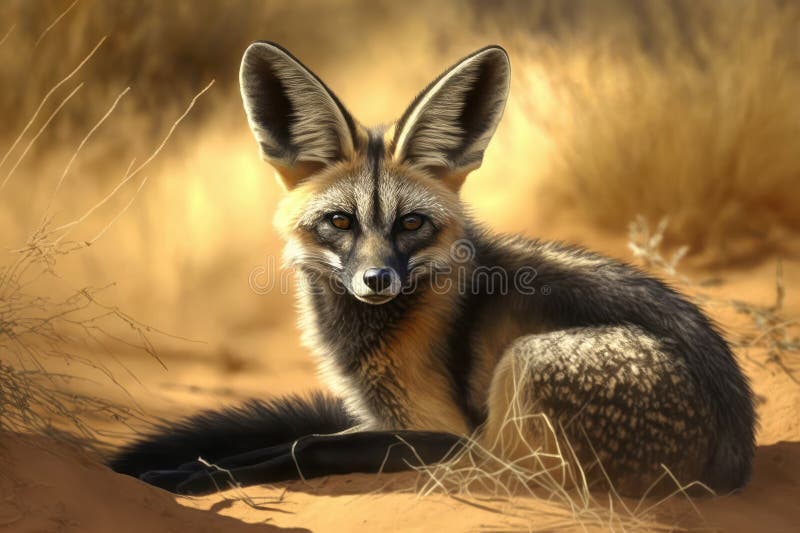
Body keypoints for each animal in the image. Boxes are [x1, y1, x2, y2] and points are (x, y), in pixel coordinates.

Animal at [110, 42, 756, 497]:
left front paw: (193, 478)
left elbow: (305, 447)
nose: (377, 281)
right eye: (340, 221)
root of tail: (736, 457)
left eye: (411, 224)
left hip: (525, 370)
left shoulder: (443, 429)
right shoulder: (381, 418)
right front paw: (187, 468)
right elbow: (286, 440)